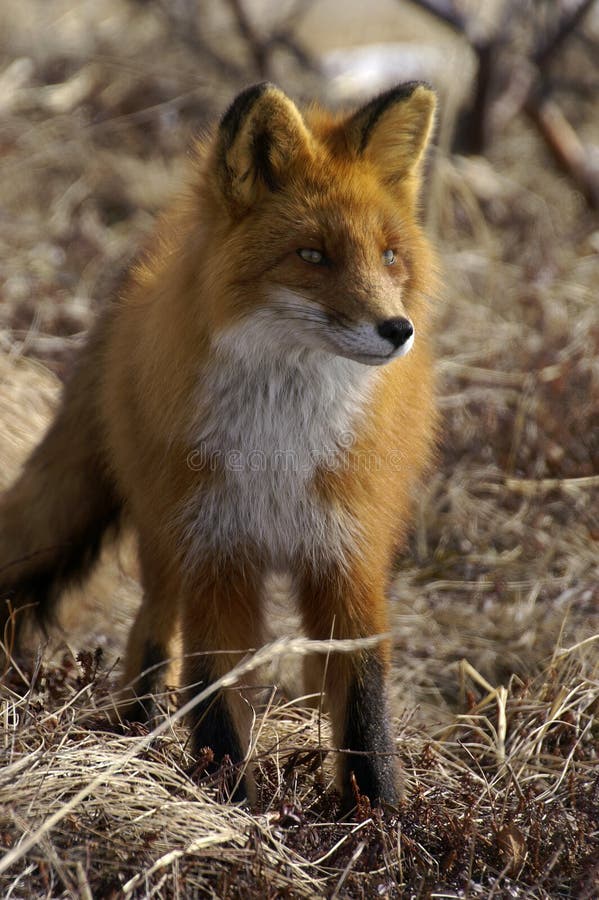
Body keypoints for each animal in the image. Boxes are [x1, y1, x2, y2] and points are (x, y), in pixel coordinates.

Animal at [0, 81, 437, 811]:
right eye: (311, 255)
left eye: (388, 256)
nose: (396, 329)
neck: (278, 450)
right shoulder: (216, 551)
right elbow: (215, 695)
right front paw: (229, 803)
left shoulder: (348, 553)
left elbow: (364, 704)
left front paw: (382, 818)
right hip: (162, 531)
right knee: (154, 628)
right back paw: (138, 723)